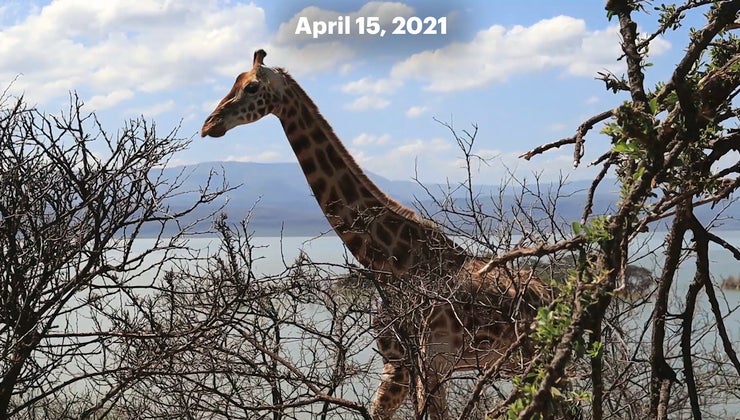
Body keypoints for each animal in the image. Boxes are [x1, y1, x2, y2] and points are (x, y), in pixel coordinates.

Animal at [201, 49, 550, 419]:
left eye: (252, 87)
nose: (209, 124)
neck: (388, 261)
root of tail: (551, 293)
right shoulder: (397, 365)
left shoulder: (430, 361)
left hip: (534, 358)